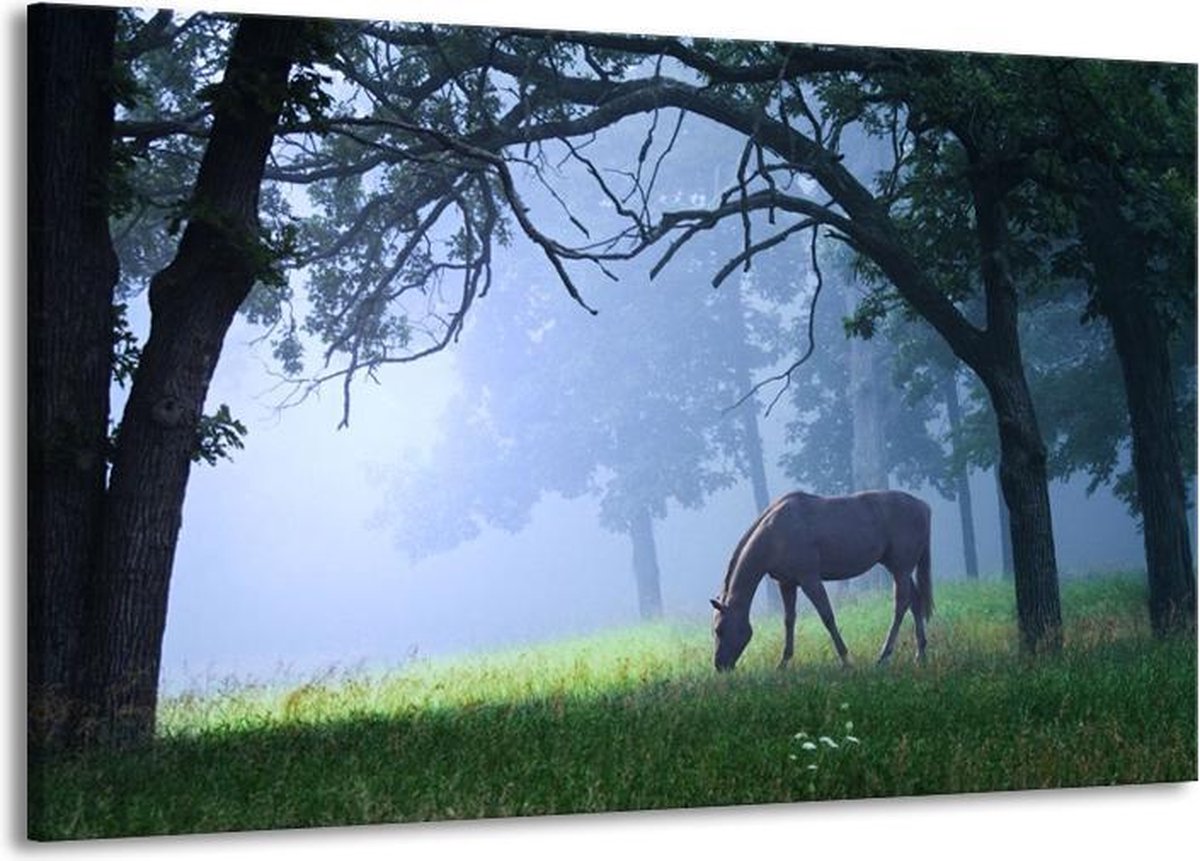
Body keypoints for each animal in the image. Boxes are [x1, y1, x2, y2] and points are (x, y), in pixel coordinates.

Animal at [710, 490, 933, 671]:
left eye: (720, 629)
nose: (719, 665)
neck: (775, 533)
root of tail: (923, 506)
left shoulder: (810, 580)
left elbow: (827, 617)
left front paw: (846, 660)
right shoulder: (787, 584)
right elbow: (789, 621)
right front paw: (783, 663)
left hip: (901, 569)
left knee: (900, 606)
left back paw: (884, 656)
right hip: (897, 568)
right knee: (915, 602)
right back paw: (920, 655)